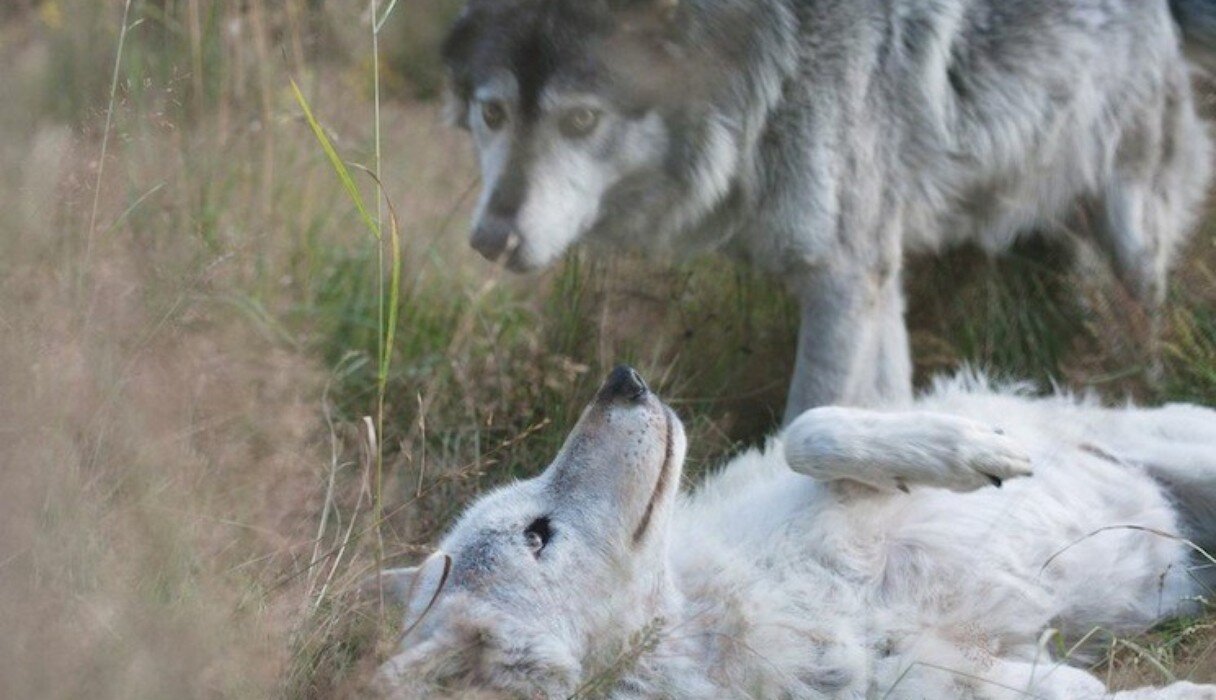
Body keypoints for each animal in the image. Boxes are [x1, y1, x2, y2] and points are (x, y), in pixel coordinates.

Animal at [440, 0, 1215, 422]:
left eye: (580, 120)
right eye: (493, 112)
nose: (490, 240)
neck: (769, 66)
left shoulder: (844, 278)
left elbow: (802, 420)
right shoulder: (872, 280)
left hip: (1131, 232)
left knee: (1145, 319)